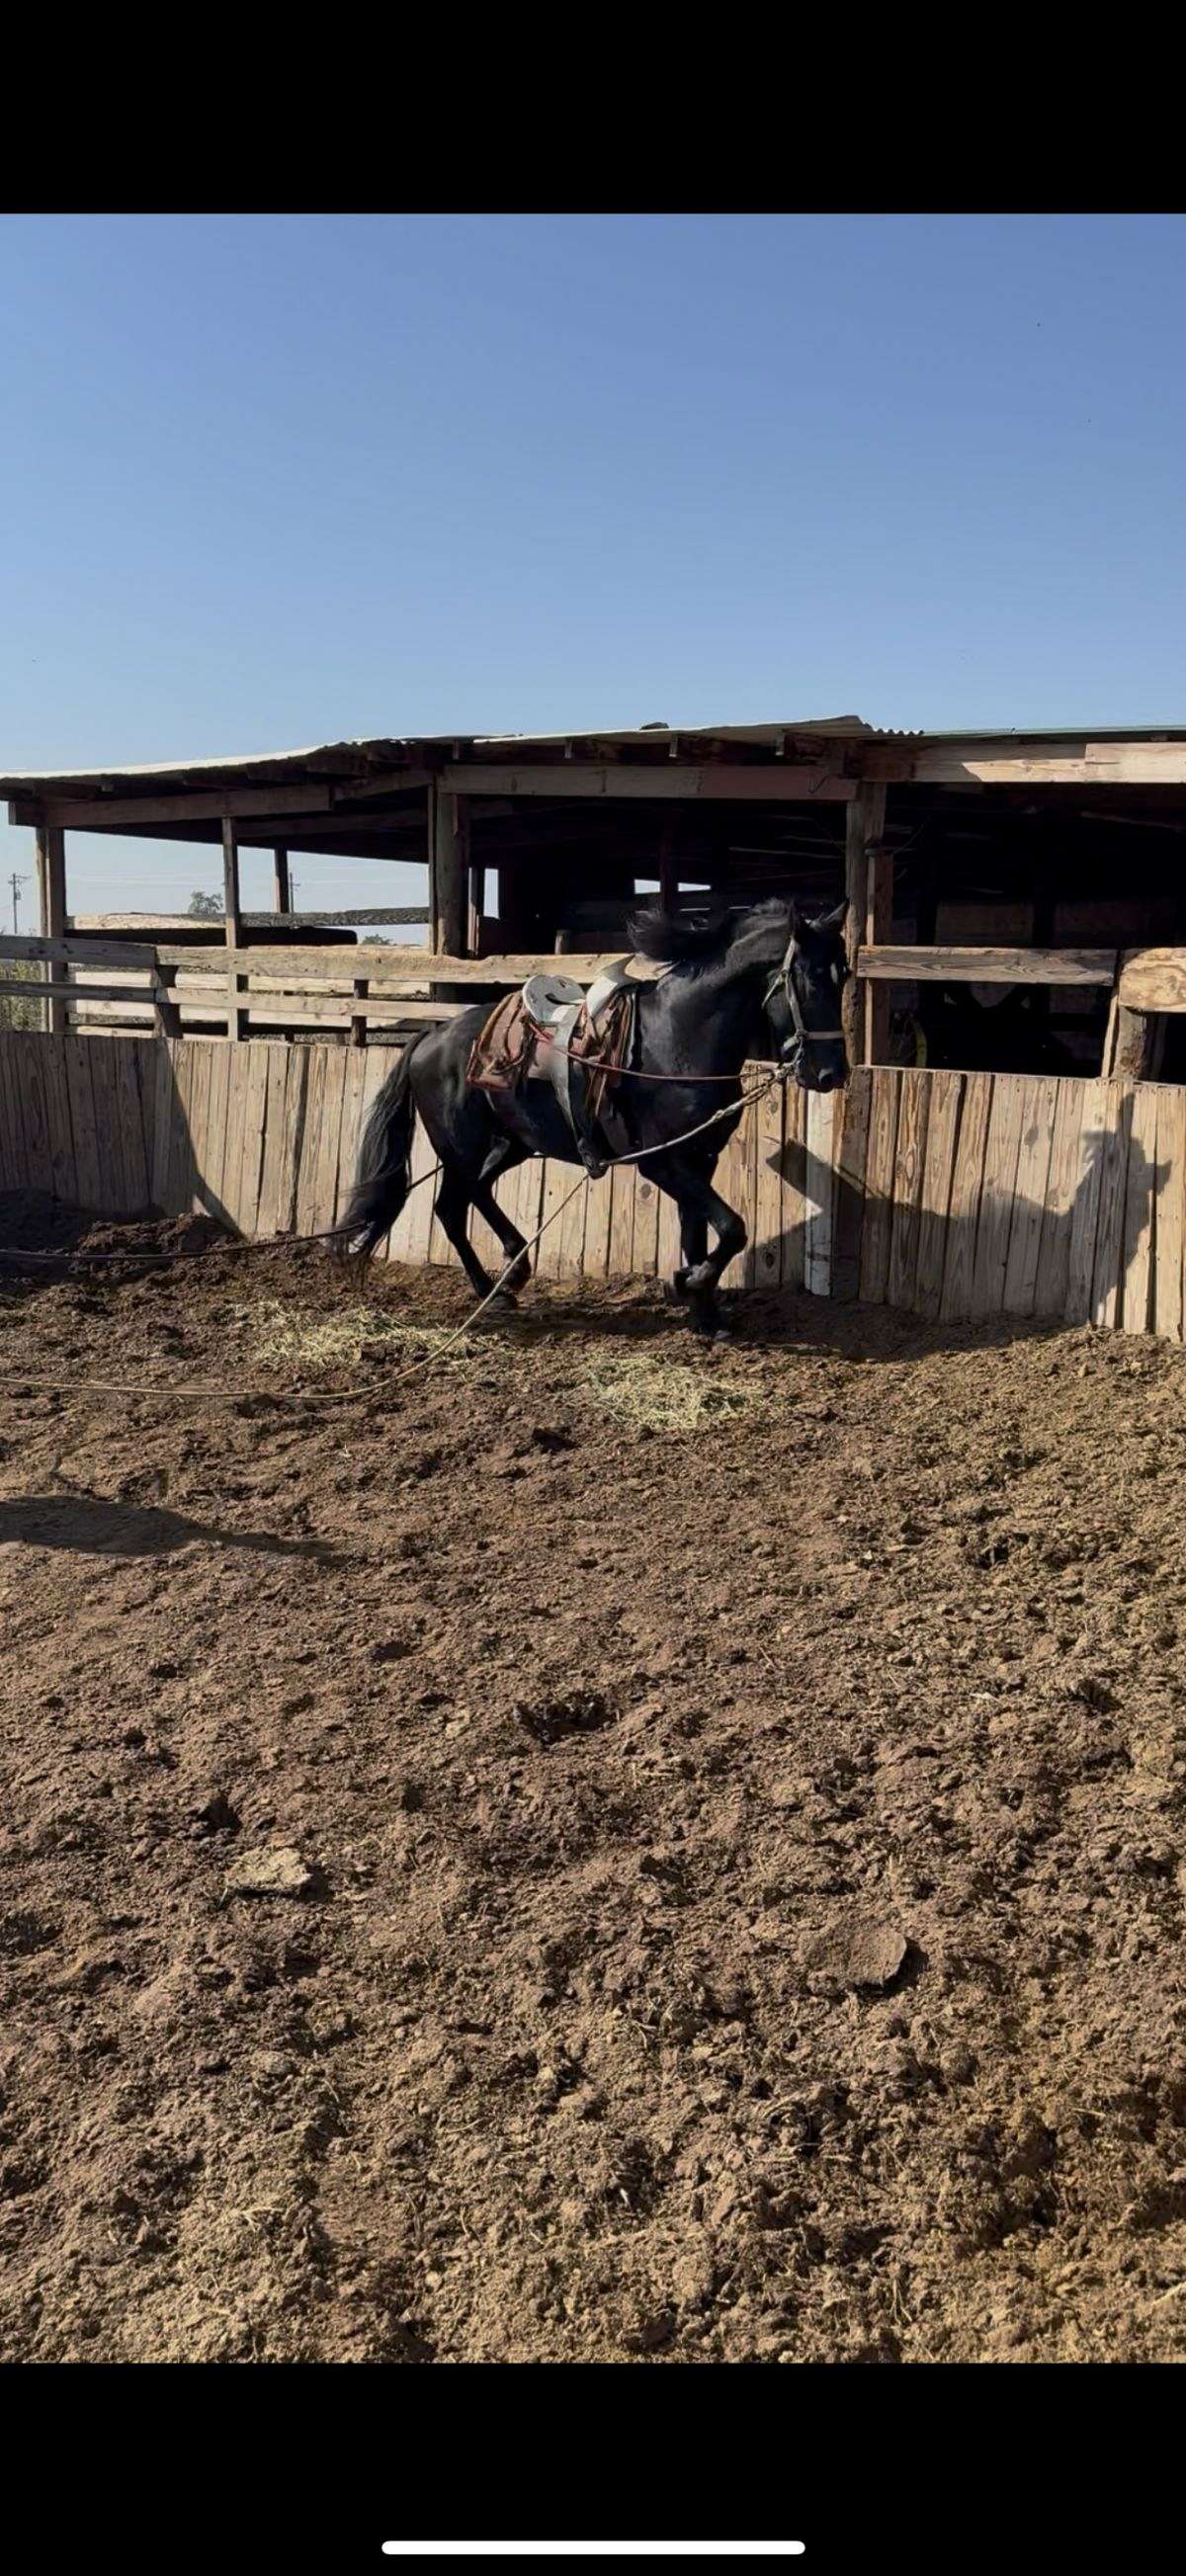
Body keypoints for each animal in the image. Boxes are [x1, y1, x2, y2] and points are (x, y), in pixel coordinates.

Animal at [338, 896, 850, 1336]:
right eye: (807, 978)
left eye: (843, 975)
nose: (832, 1074)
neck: (676, 1040)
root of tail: (431, 1037)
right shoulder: (661, 1163)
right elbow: (732, 1229)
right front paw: (688, 1283)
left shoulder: (699, 1160)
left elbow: (700, 1235)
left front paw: (705, 1315)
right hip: (461, 1149)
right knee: (450, 1208)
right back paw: (492, 1288)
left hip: (512, 1144)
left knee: (476, 1194)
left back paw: (513, 1270)